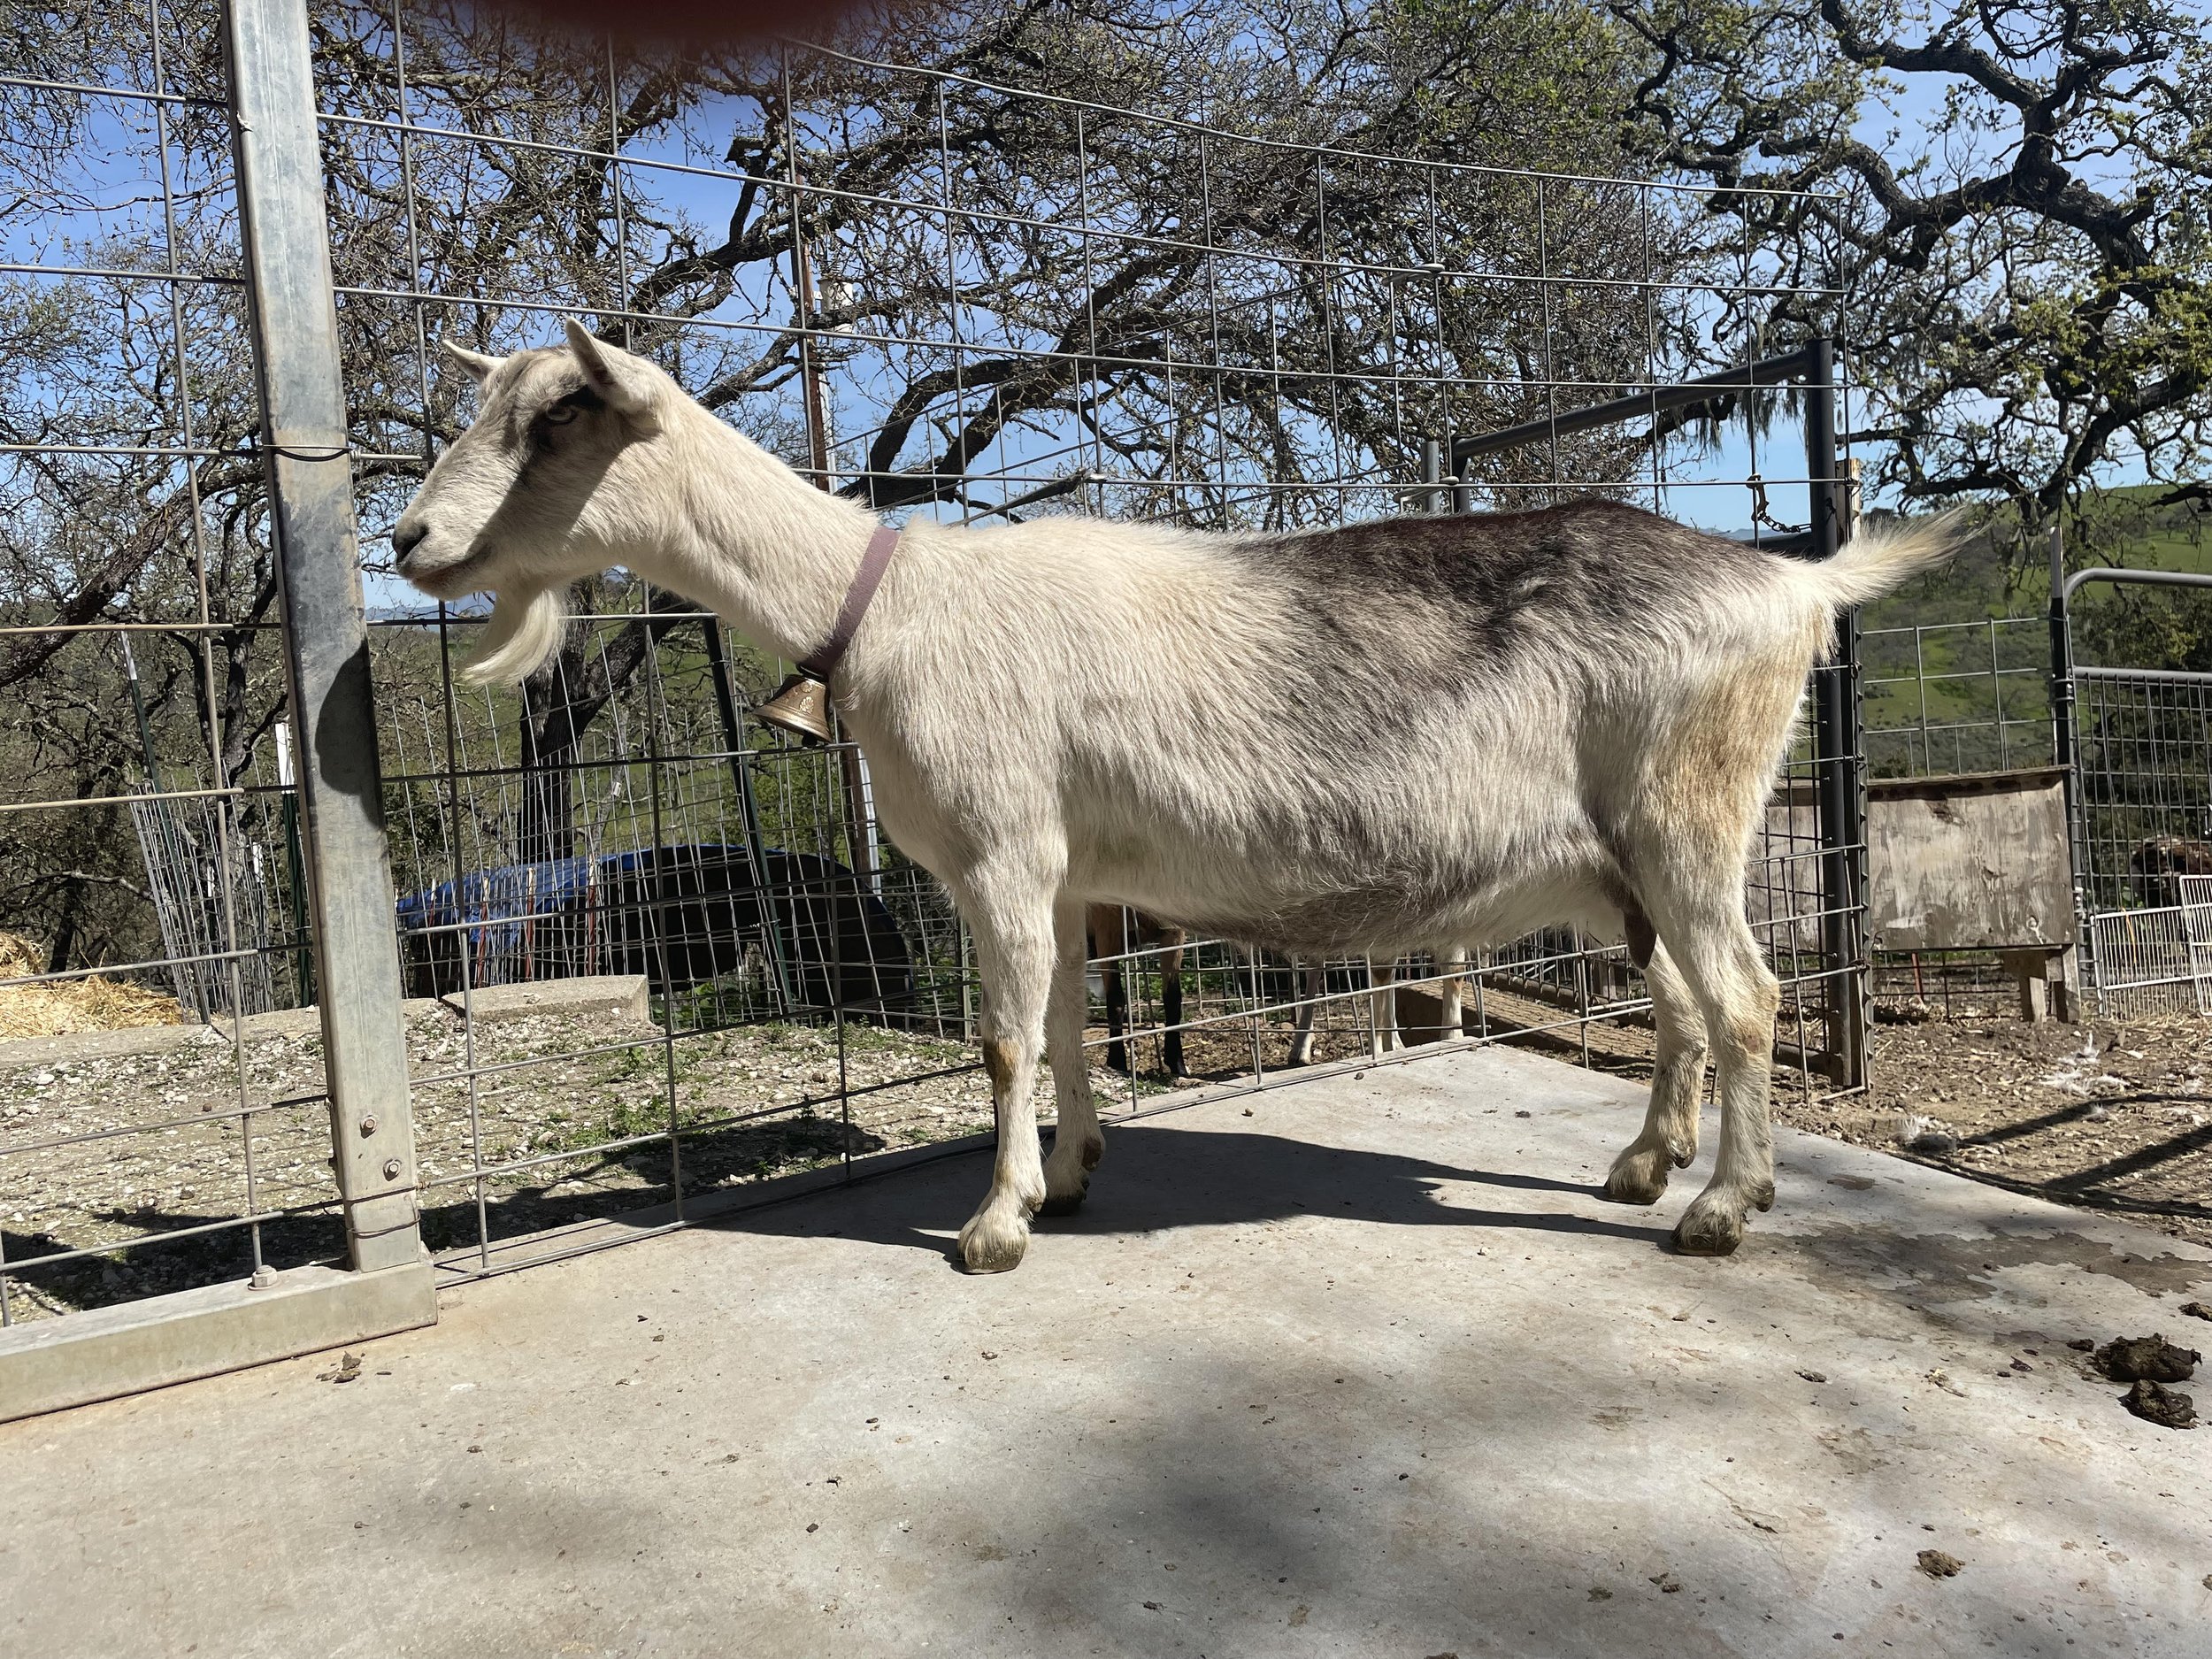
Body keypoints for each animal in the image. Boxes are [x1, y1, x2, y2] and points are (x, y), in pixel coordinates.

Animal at [394, 325, 1956, 1271]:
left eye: (559, 414)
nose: (410, 537)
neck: (892, 604)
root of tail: (1787, 582)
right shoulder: (1068, 872)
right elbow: (1064, 1031)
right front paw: (1074, 1171)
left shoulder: (1002, 852)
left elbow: (1001, 1044)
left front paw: (993, 1225)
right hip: (1629, 854)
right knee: (1687, 998)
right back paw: (1643, 1164)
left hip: (1690, 810)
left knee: (1745, 996)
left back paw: (1719, 1208)